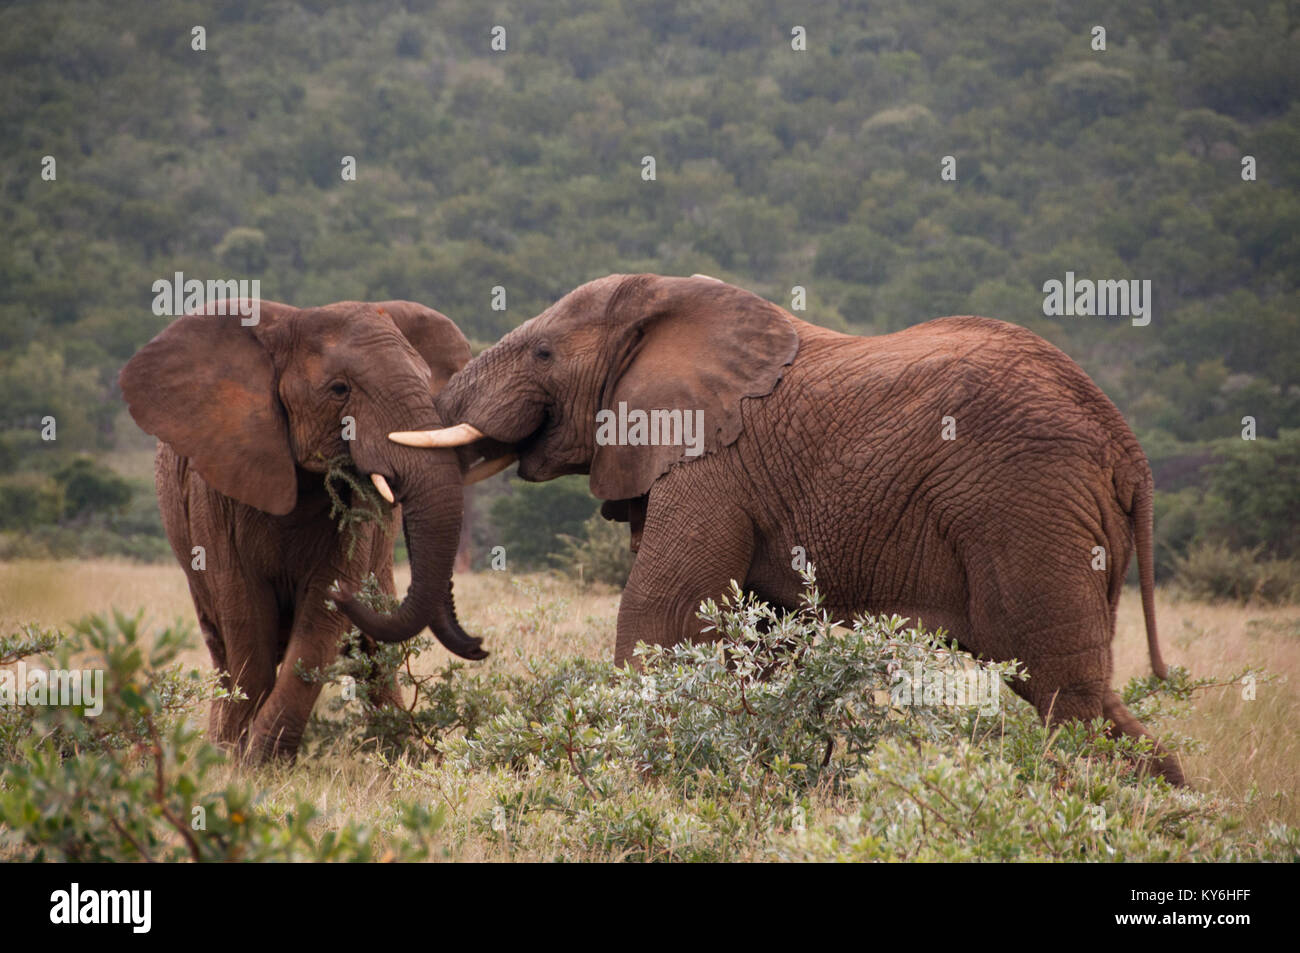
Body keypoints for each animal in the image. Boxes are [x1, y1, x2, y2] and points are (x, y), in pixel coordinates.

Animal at [120, 298, 498, 762]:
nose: (479, 644)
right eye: (339, 390)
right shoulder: (214, 489)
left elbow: (318, 624)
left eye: (427, 383)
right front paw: (237, 764)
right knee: (225, 651)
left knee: (375, 655)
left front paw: (259, 762)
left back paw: (405, 760)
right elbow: (248, 630)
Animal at [391, 273, 1186, 785]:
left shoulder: (712, 462)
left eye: (544, 354)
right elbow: (760, 639)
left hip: (1028, 507)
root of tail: (1127, 446)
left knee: (1061, 689)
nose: (482, 645)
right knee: (1087, 695)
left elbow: (660, 614)